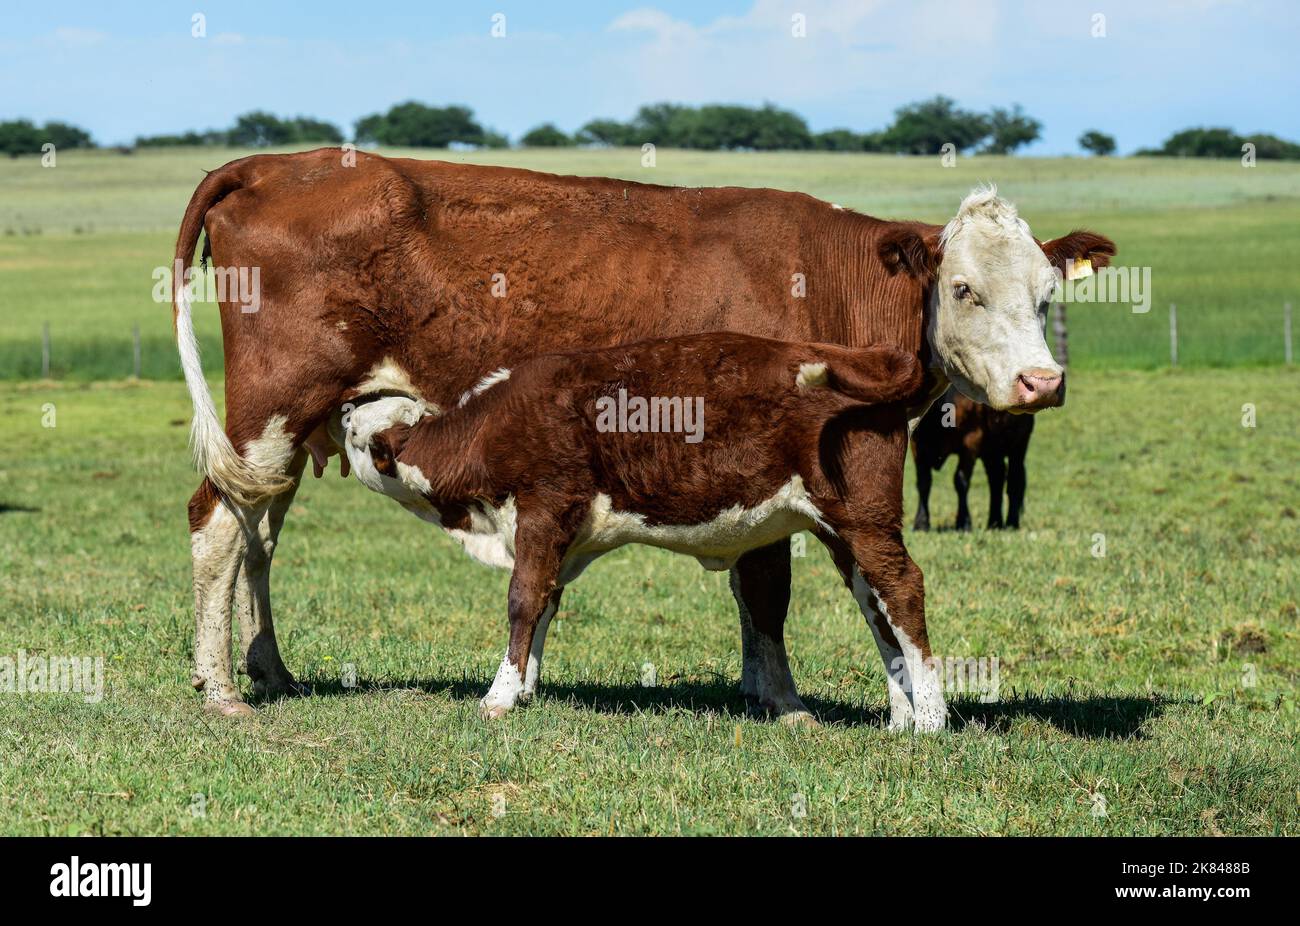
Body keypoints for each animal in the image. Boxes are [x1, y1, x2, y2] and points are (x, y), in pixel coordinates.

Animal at [340, 333, 939, 726]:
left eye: (356, 433)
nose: (345, 408)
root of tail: (854, 353)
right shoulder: (558, 535)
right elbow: (546, 601)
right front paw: (527, 688)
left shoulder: (544, 507)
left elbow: (523, 599)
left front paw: (500, 696)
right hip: (843, 530)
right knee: (875, 604)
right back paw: (901, 719)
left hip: (863, 518)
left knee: (904, 589)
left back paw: (931, 721)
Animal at [910, 385, 1037, 531]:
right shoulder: (917, 444)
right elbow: (923, 482)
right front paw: (921, 523)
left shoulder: (971, 439)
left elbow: (961, 480)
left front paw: (964, 522)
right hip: (992, 448)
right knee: (997, 479)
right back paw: (994, 523)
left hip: (1019, 442)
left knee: (1015, 480)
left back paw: (1011, 523)